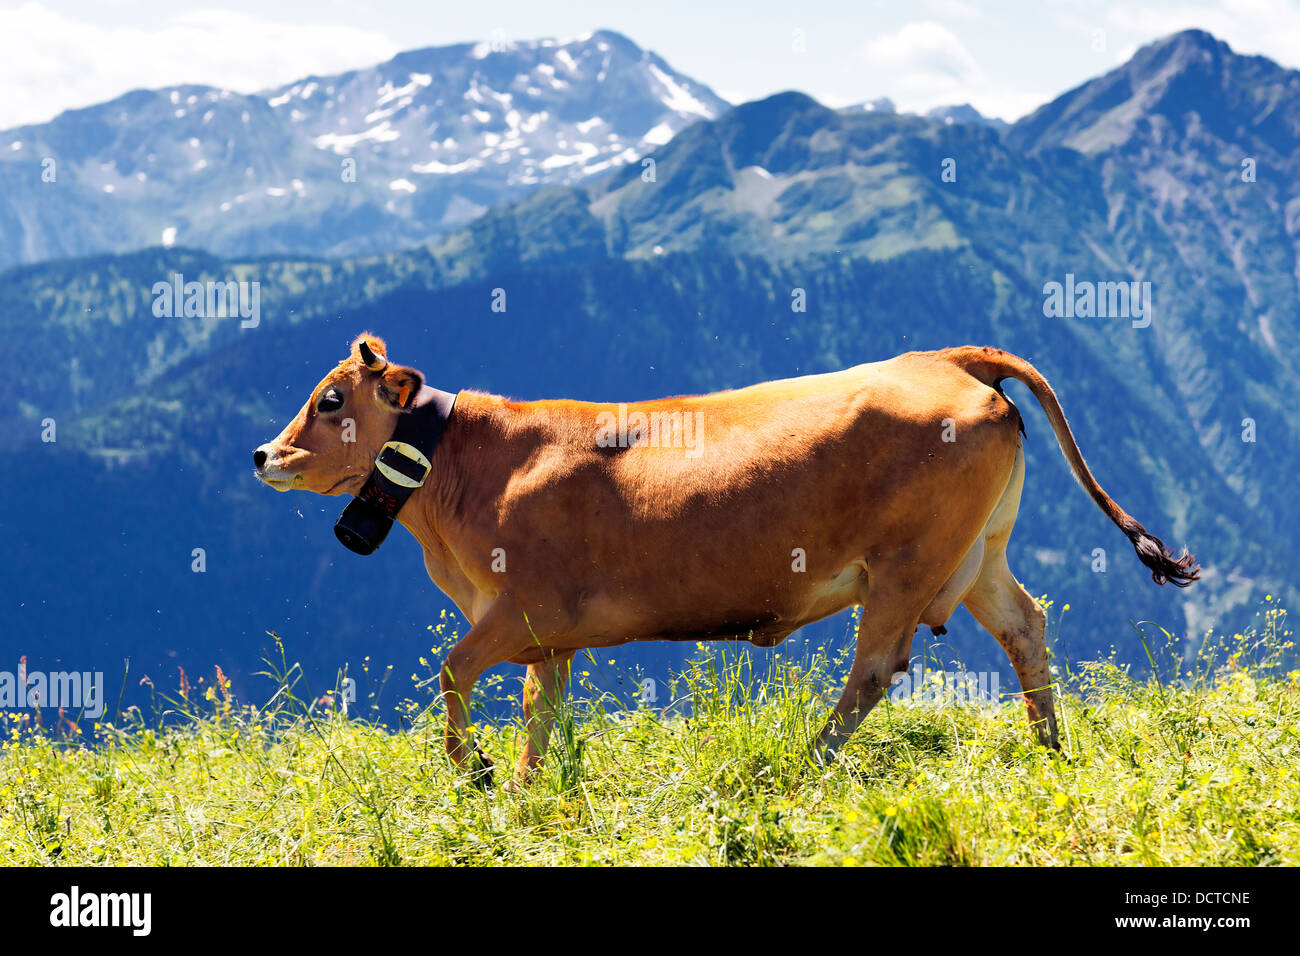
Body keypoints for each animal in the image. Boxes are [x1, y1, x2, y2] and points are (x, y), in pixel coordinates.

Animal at [254, 334, 1199, 785]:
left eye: (329, 399)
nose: (264, 454)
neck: (469, 470)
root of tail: (942, 358)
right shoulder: (547, 636)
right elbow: (538, 711)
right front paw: (524, 789)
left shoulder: (522, 610)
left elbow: (453, 673)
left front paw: (478, 773)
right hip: (977, 555)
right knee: (1025, 627)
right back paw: (1051, 749)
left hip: (909, 561)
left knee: (876, 665)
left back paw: (808, 762)